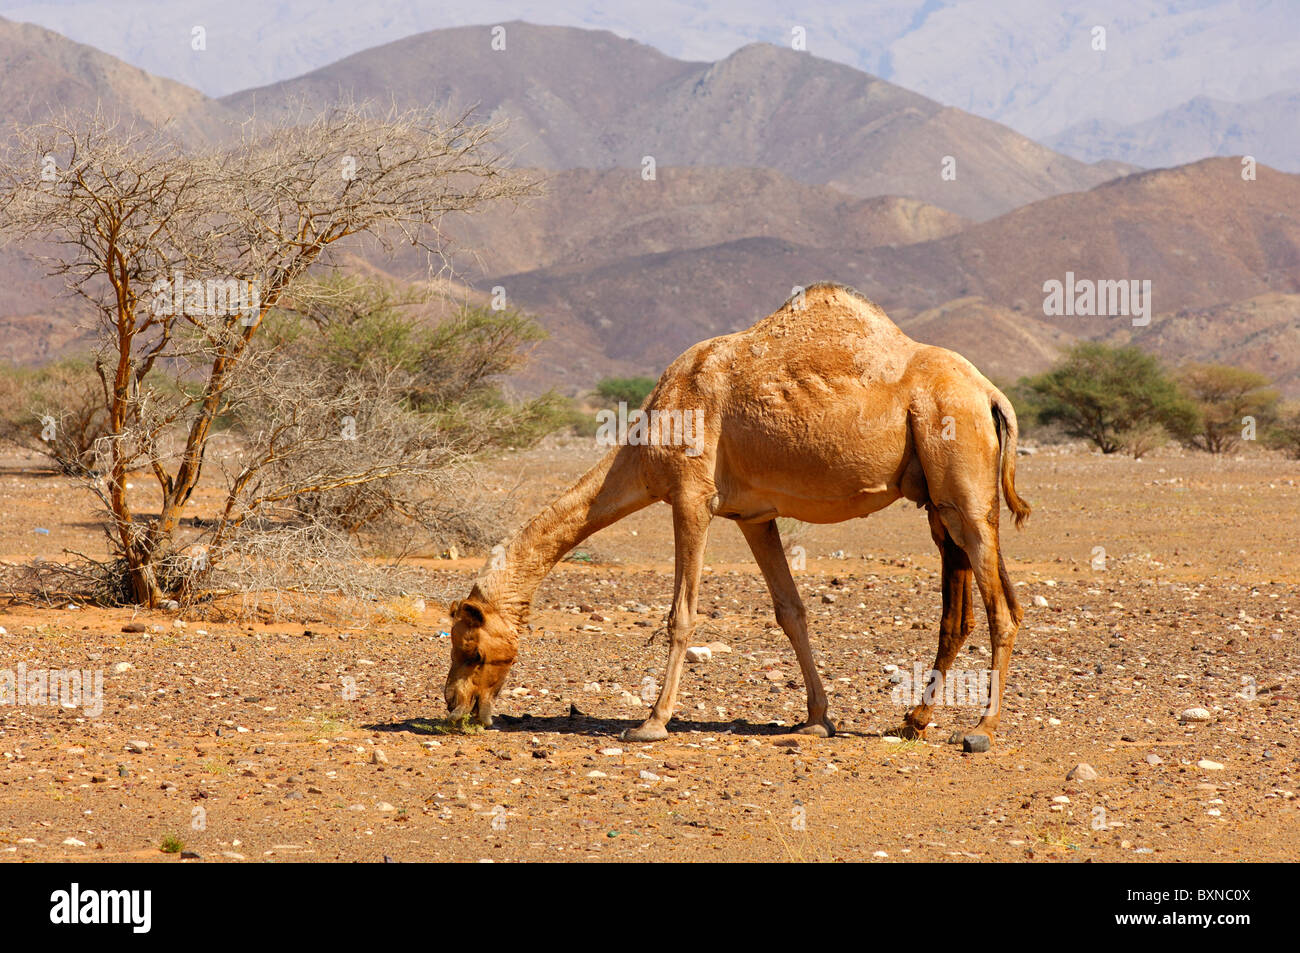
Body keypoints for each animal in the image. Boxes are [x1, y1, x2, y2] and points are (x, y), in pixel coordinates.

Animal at [444, 282, 1030, 749]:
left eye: (470, 648)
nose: (454, 705)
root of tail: (991, 393)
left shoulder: (690, 495)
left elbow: (681, 615)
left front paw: (651, 723)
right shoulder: (753, 516)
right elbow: (790, 611)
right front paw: (817, 719)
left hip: (962, 483)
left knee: (1001, 610)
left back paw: (981, 729)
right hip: (942, 500)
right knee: (965, 611)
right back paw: (913, 719)